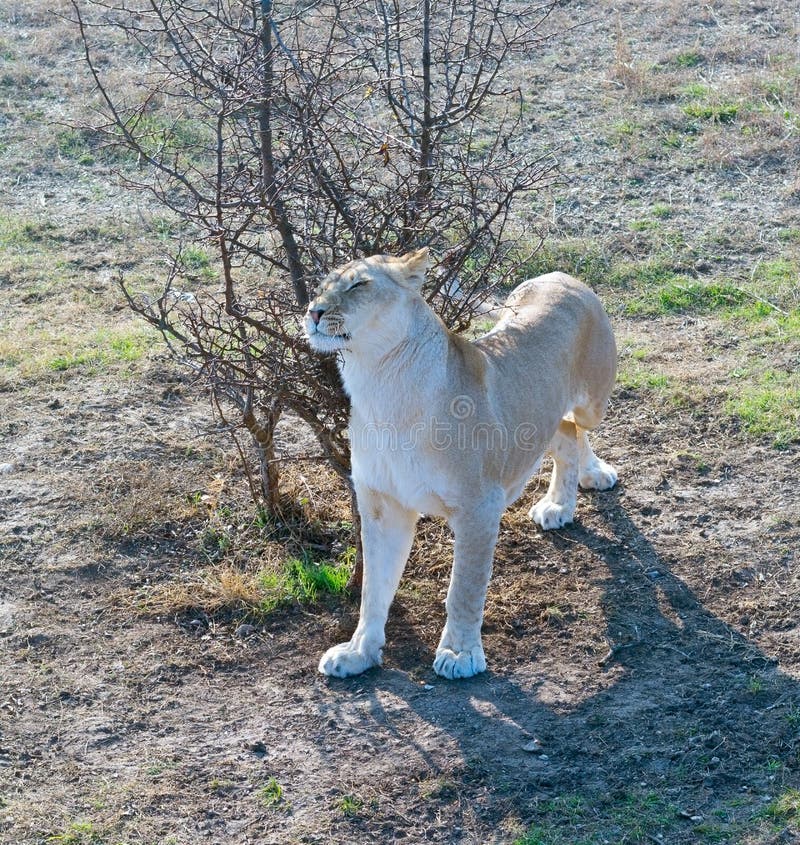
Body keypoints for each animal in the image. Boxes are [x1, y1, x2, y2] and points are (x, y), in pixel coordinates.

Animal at [304, 249, 617, 679]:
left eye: (359, 285)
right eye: (321, 286)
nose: (313, 311)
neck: (378, 383)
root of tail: (557, 275)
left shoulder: (478, 506)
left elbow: (463, 588)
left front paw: (459, 654)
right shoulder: (383, 505)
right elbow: (374, 588)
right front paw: (358, 652)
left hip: (593, 402)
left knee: (577, 426)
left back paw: (594, 474)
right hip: (535, 419)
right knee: (566, 434)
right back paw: (558, 505)